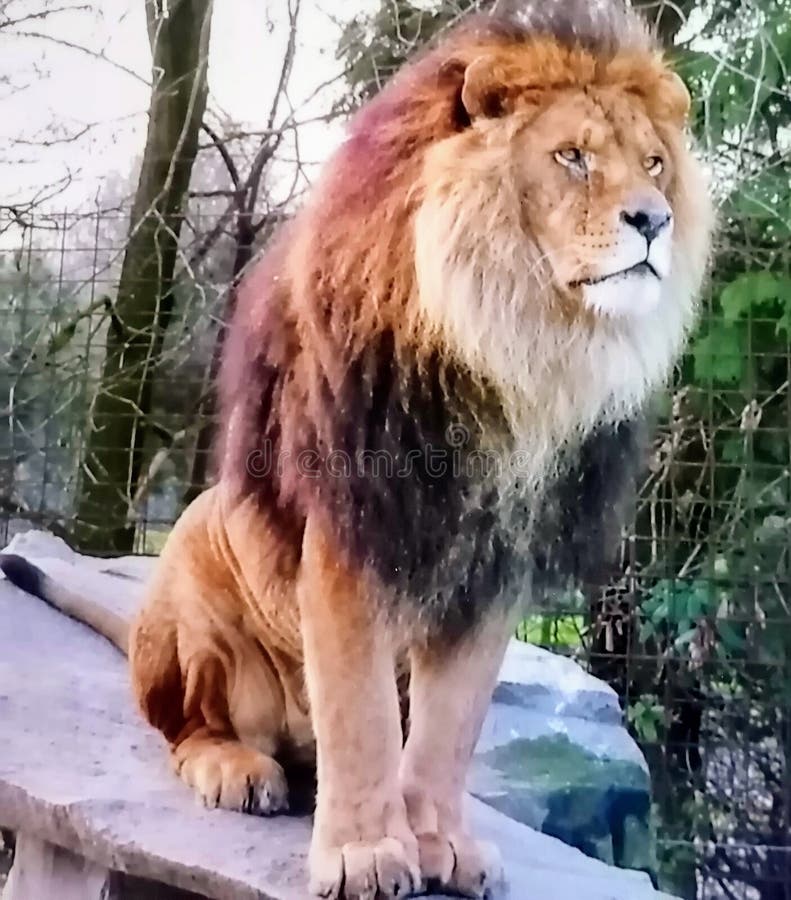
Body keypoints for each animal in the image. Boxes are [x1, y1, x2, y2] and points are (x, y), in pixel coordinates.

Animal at [0, 2, 713, 898]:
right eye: (572, 157)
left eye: (654, 164)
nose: (652, 219)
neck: (515, 350)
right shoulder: (350, 531)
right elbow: (361, 713)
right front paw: (368, 854)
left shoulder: (494, 566)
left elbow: (449, 728)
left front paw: (438, 841)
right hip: (195, 571)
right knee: (189, 728)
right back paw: (236, 769)